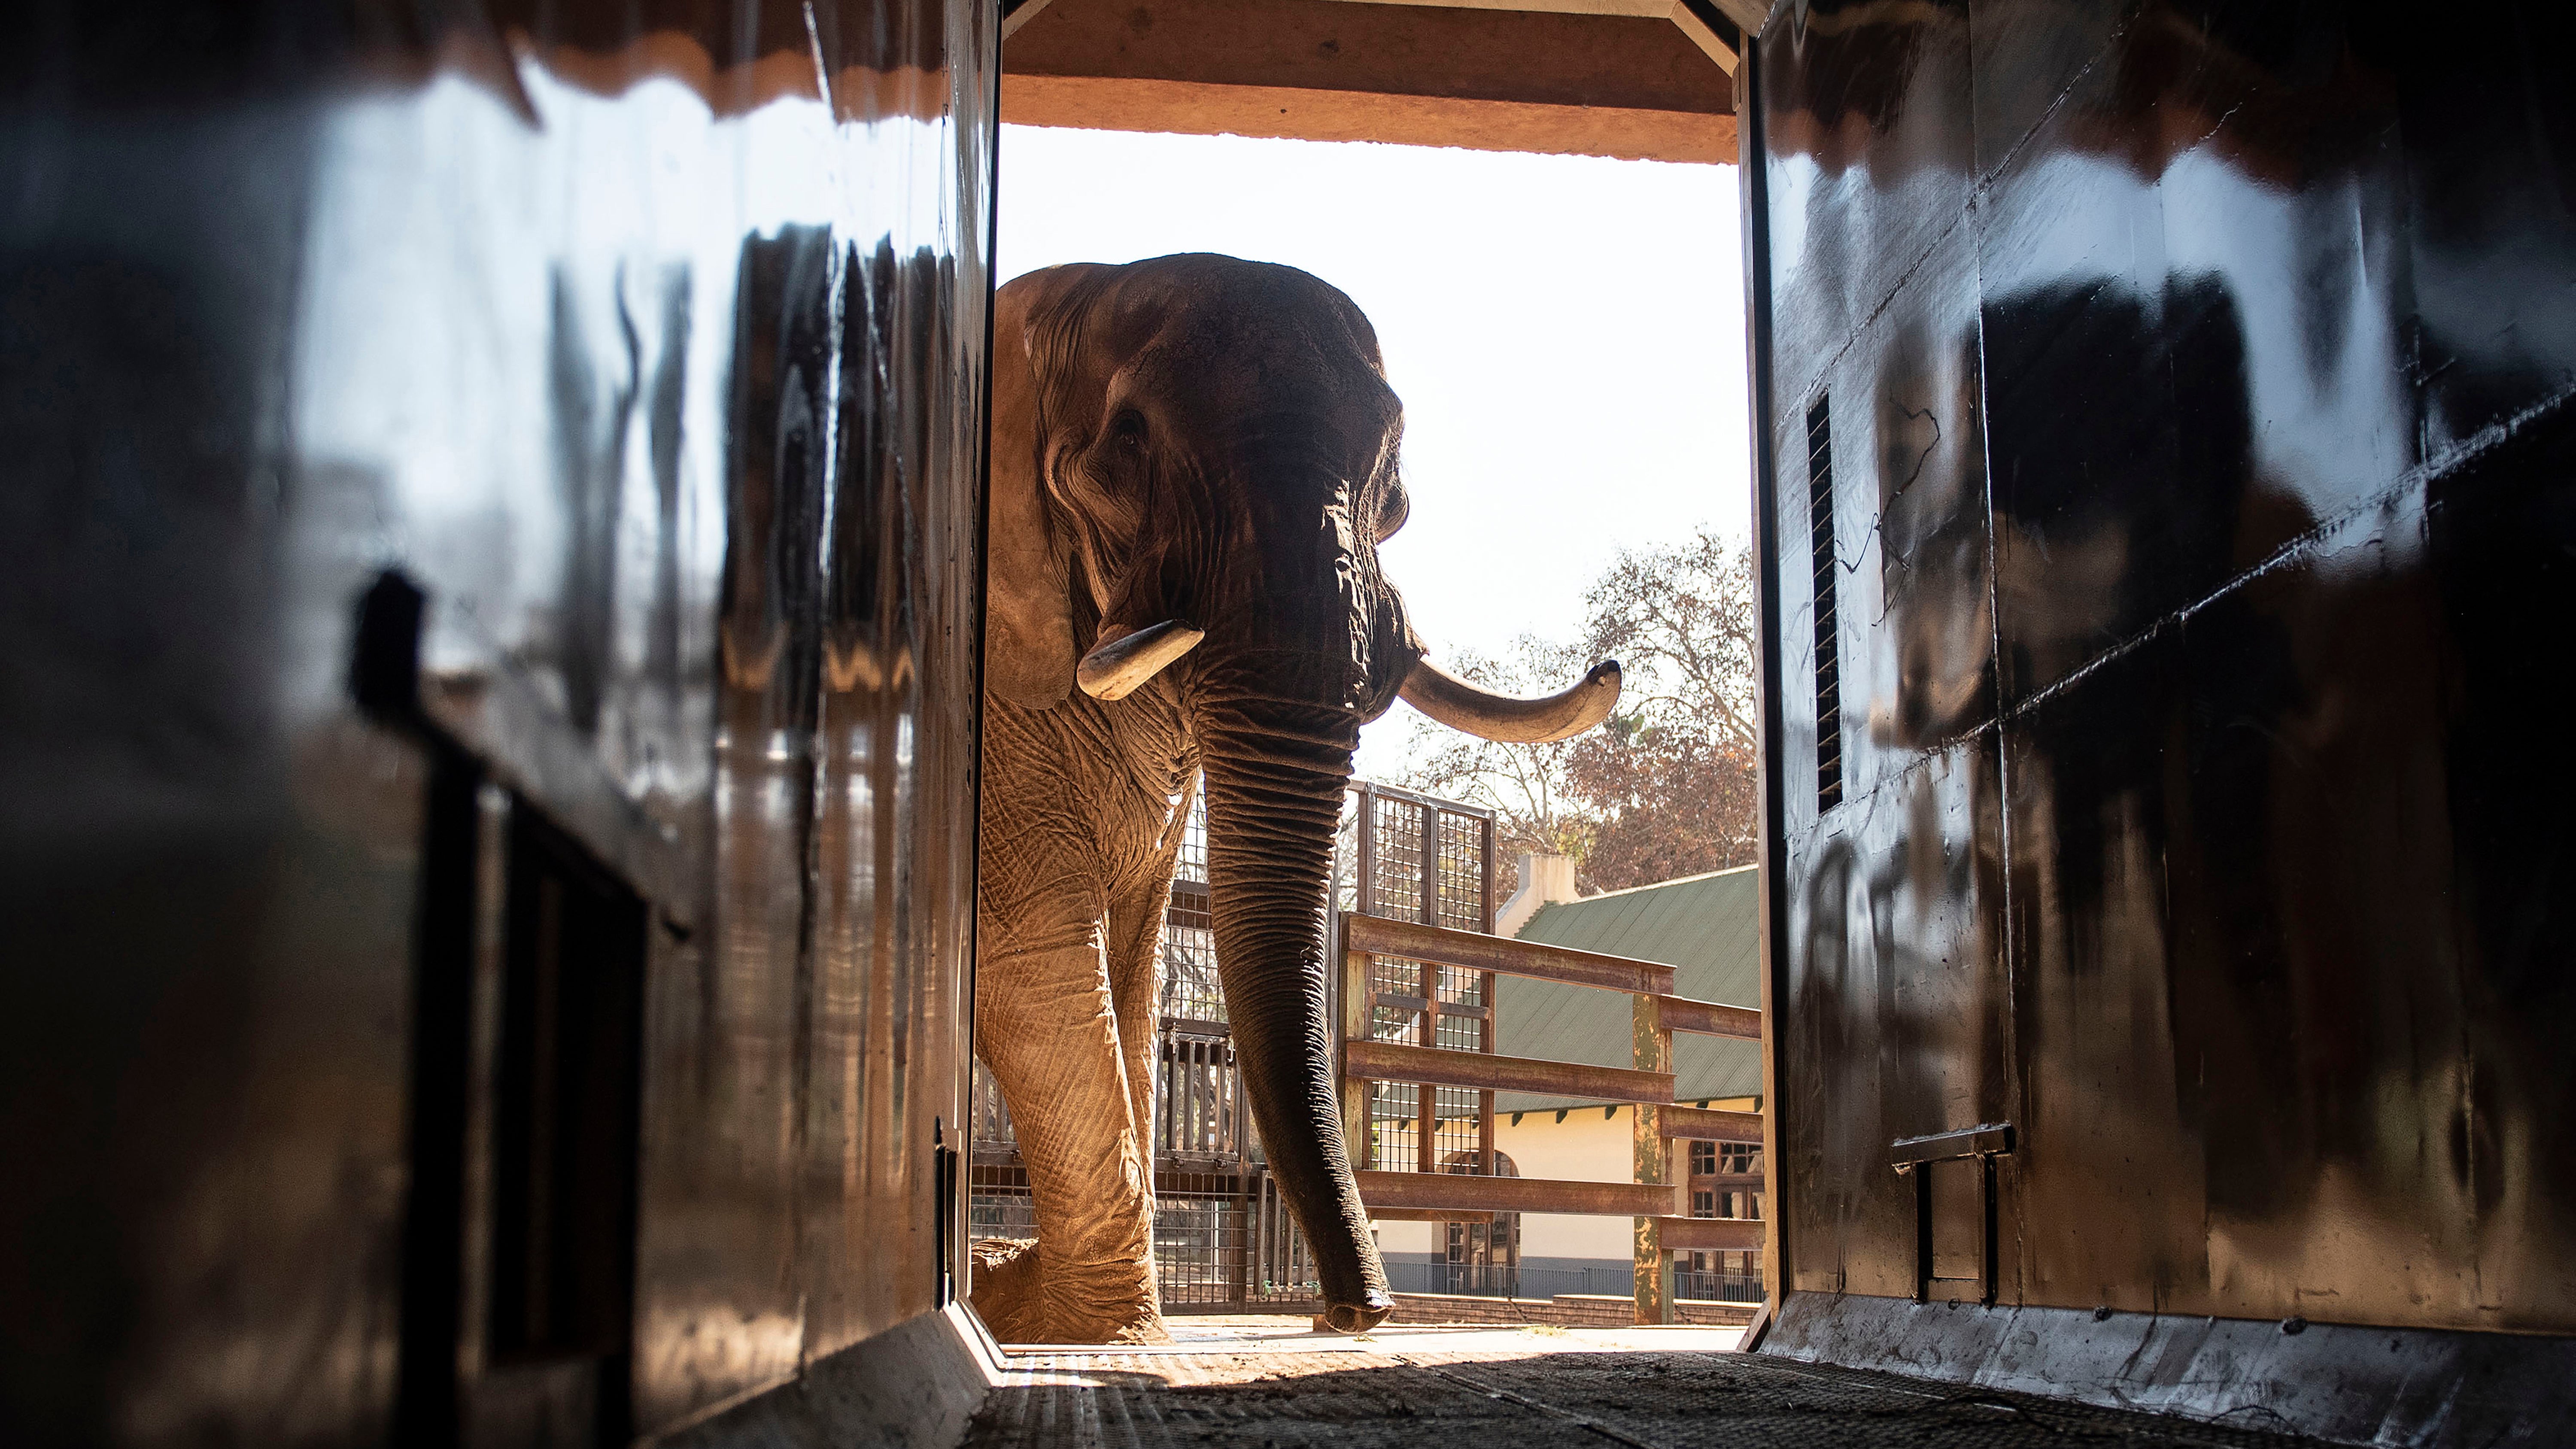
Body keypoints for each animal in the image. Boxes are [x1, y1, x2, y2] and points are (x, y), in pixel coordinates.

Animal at [970, 253, 1619, 1344]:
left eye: (1393, 493)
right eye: (1126, 446)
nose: (1354, 1312)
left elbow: (1129, 975)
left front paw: (1036, 1307)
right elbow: (1034, 955)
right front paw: (1082, 1328)